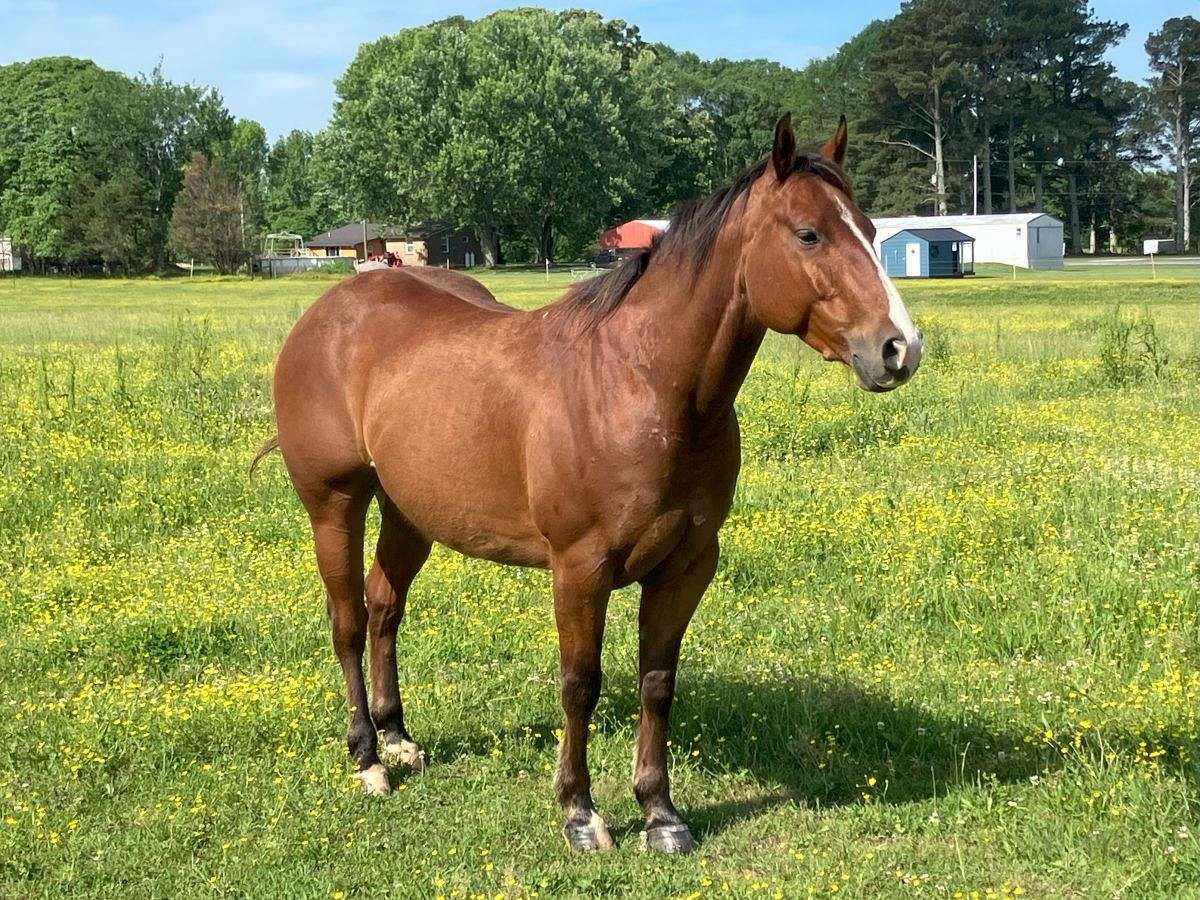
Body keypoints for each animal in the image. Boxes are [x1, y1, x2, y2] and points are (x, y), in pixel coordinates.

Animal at [252, 114, 922, 854]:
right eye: (808, 234)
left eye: (870, 227)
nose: (898, 348)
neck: (640, 383)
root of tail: (330, 311)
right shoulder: (580, 567)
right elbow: (580, 684)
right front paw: (579, 812)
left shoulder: (688, 564)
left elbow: (658, 681)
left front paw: (660, 814)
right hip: (335, 504)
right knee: (345, 622)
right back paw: (368, 758)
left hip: (409, 513)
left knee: (383, 608)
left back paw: (398, 737)